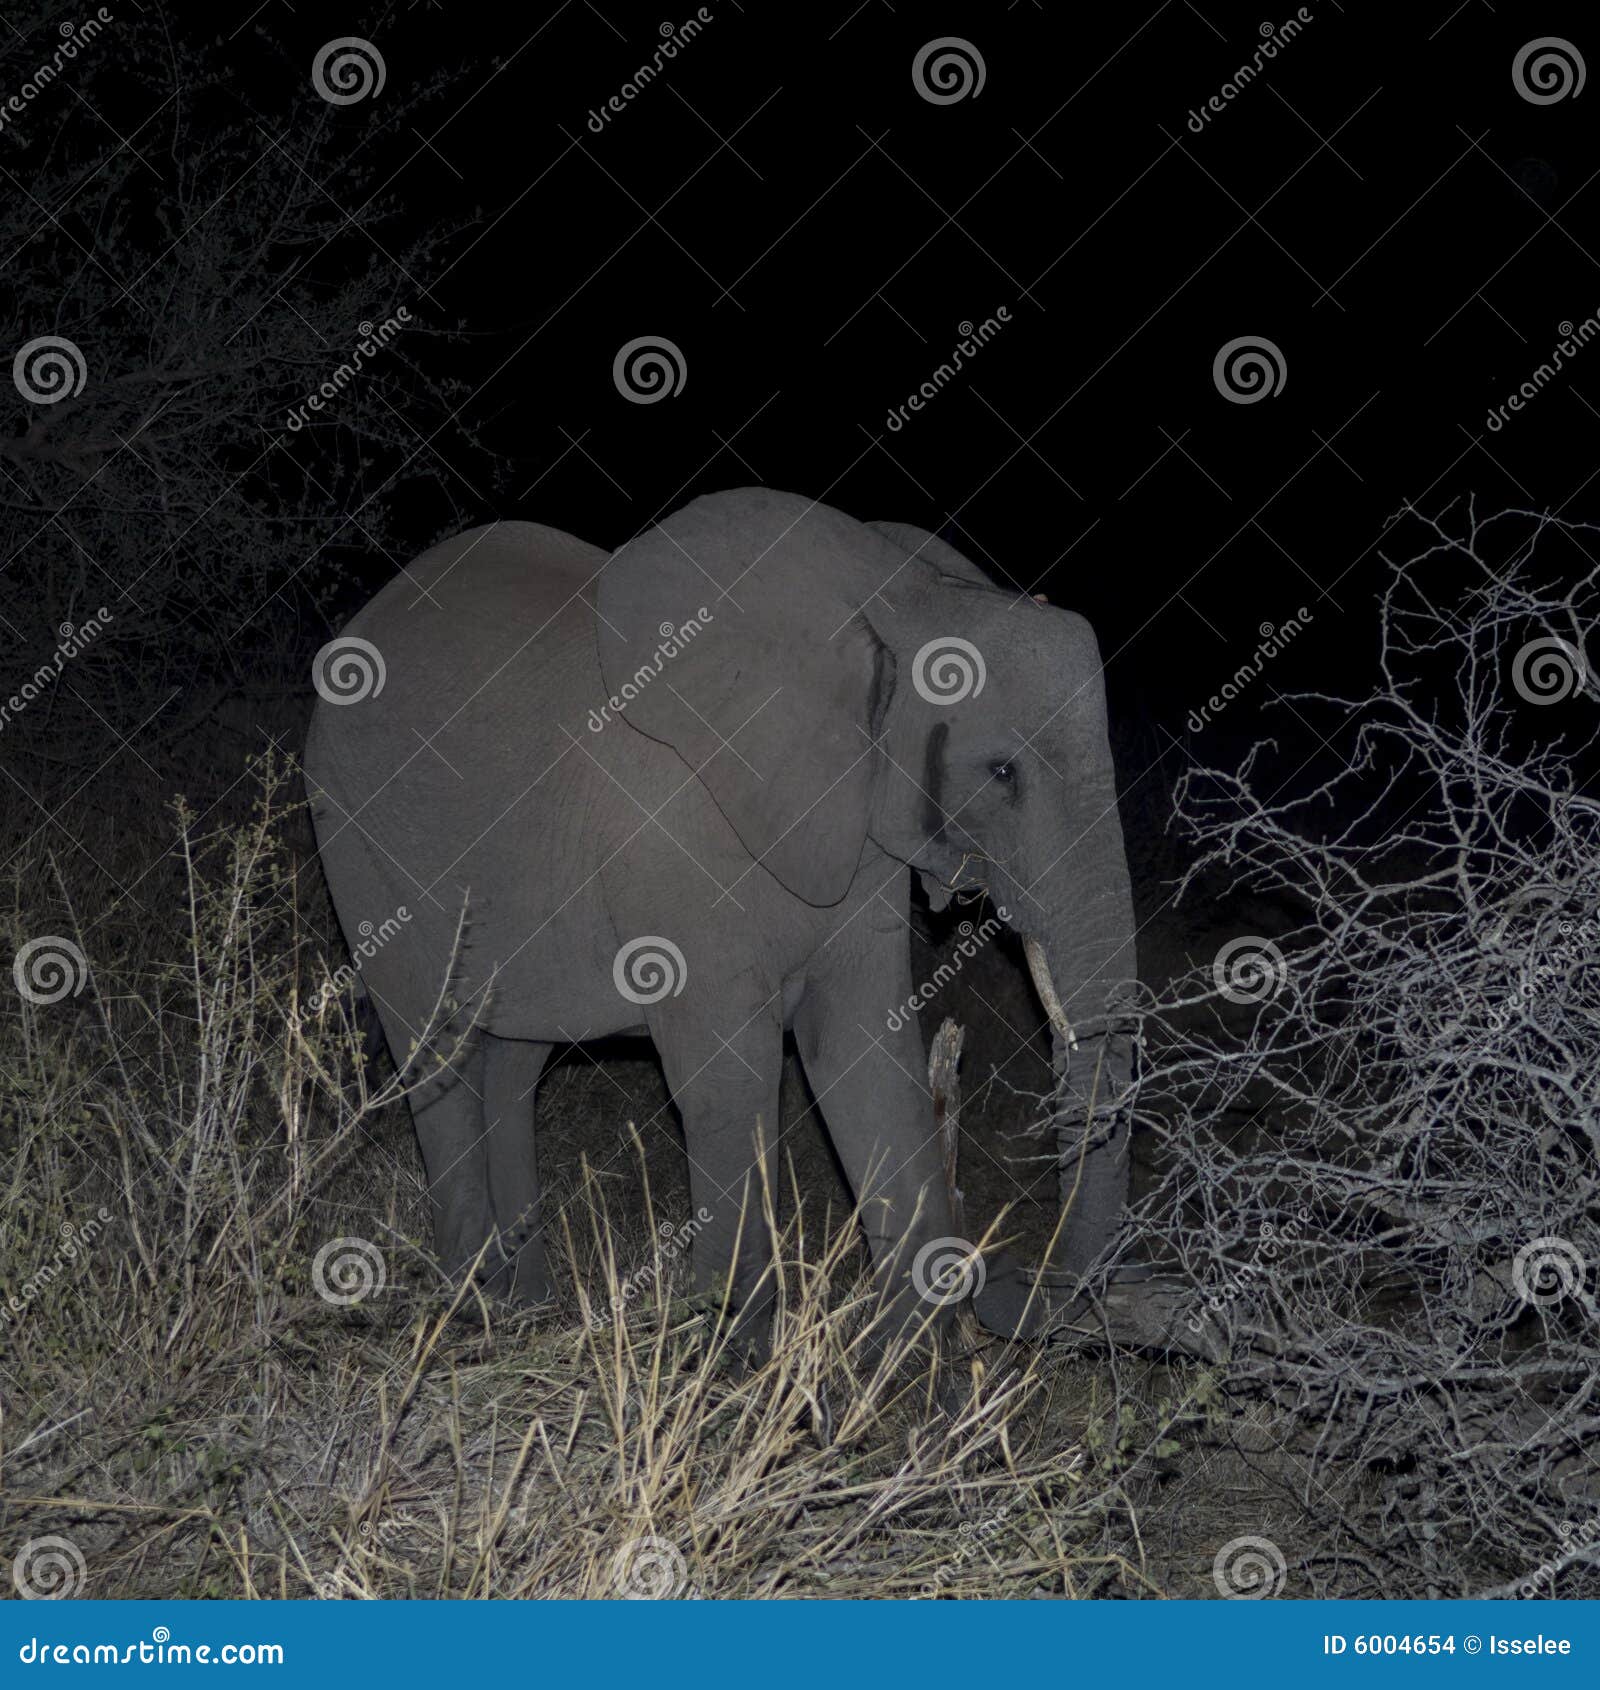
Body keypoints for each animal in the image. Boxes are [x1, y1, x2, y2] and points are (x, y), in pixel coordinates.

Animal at [303, 487, 1137, 1347]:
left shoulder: (855, 833)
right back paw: (468, 1314)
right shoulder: (674, 844)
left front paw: (903, 1367)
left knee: (511, 1061)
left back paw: (524, 1306)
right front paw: (732, 1357)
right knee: (435, 1045)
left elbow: (866, 1054)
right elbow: (731, 1084)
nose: (1007, 1277)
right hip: (356, 831)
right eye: (1003, 773)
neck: (898, 596)